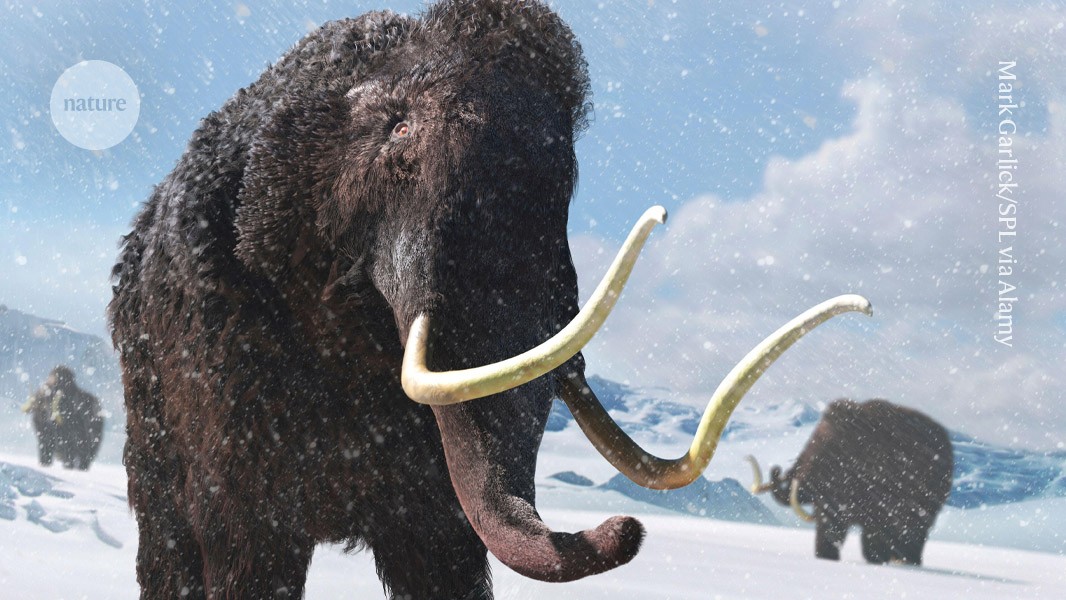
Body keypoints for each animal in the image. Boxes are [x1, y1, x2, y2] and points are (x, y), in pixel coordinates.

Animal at [109, 1, 871, 597]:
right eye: (402, 132)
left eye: (566, 175)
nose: (626, 528)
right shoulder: (223, 389)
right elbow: (247, 551)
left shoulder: (429, 501)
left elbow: (445, 547)